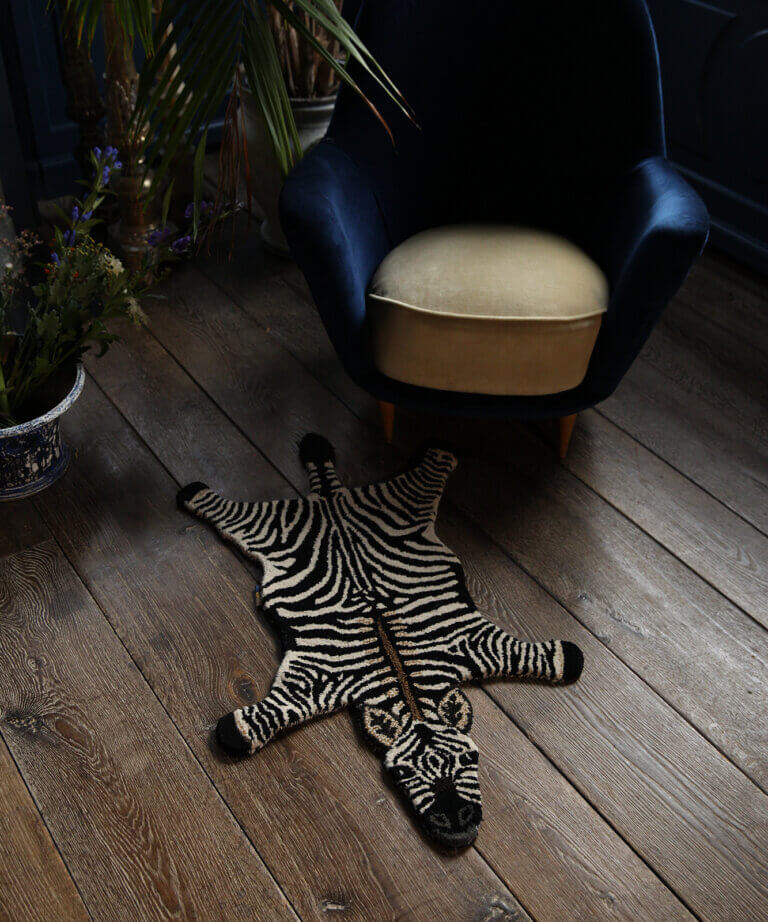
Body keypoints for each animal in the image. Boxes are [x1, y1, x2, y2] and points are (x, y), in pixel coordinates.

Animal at [177, 434, 583, 847]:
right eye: (400, 774)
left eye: (471, 760)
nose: (458, 829)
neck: (404, 681)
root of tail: (330, 498)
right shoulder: (314, 682)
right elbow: (268, 714)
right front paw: (234, 730)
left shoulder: (474, 643)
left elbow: (539, 656)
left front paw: (567, 655)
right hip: (266, 530)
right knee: (228, 511)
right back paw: (198, 492)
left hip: (400, 502)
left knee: (426, 475)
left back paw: (430, 452)